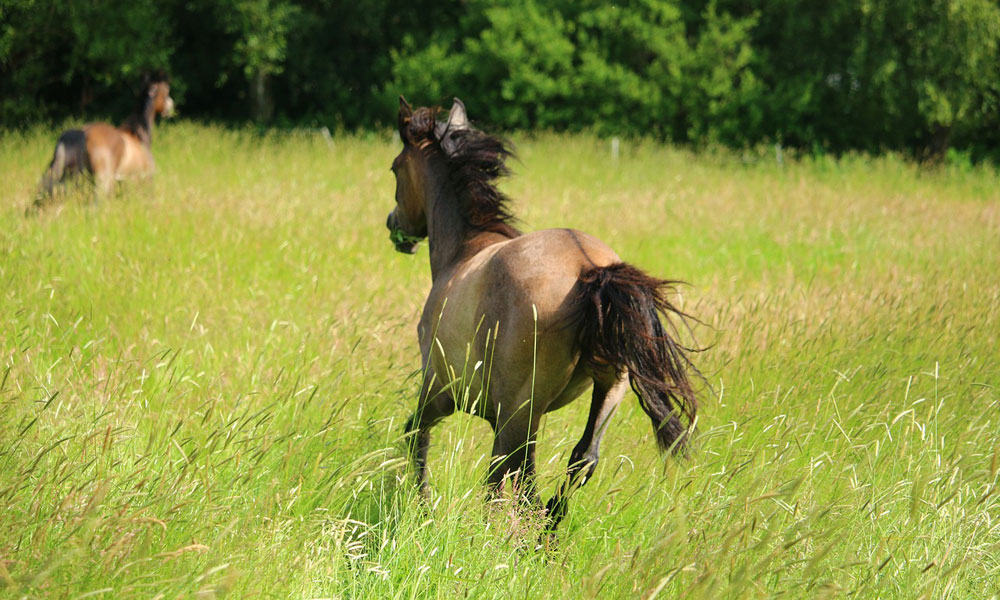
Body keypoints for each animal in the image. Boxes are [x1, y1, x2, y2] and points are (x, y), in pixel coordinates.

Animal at [31, 72, 175, 210]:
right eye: (166, 91)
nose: (170, 107)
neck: (137, 135)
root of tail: (82, 133)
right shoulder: (143, 179)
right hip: (102, 180)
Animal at [386, 96, 703, 536]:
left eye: (395, 168)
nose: (394, 226)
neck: (462, 253)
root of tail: (590, 270)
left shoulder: (439, 390)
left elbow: (416, 436)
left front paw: (422, 505)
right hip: (609, 390)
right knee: (578, 461)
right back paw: (546, 535)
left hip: (521, 412)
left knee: (519, 479)